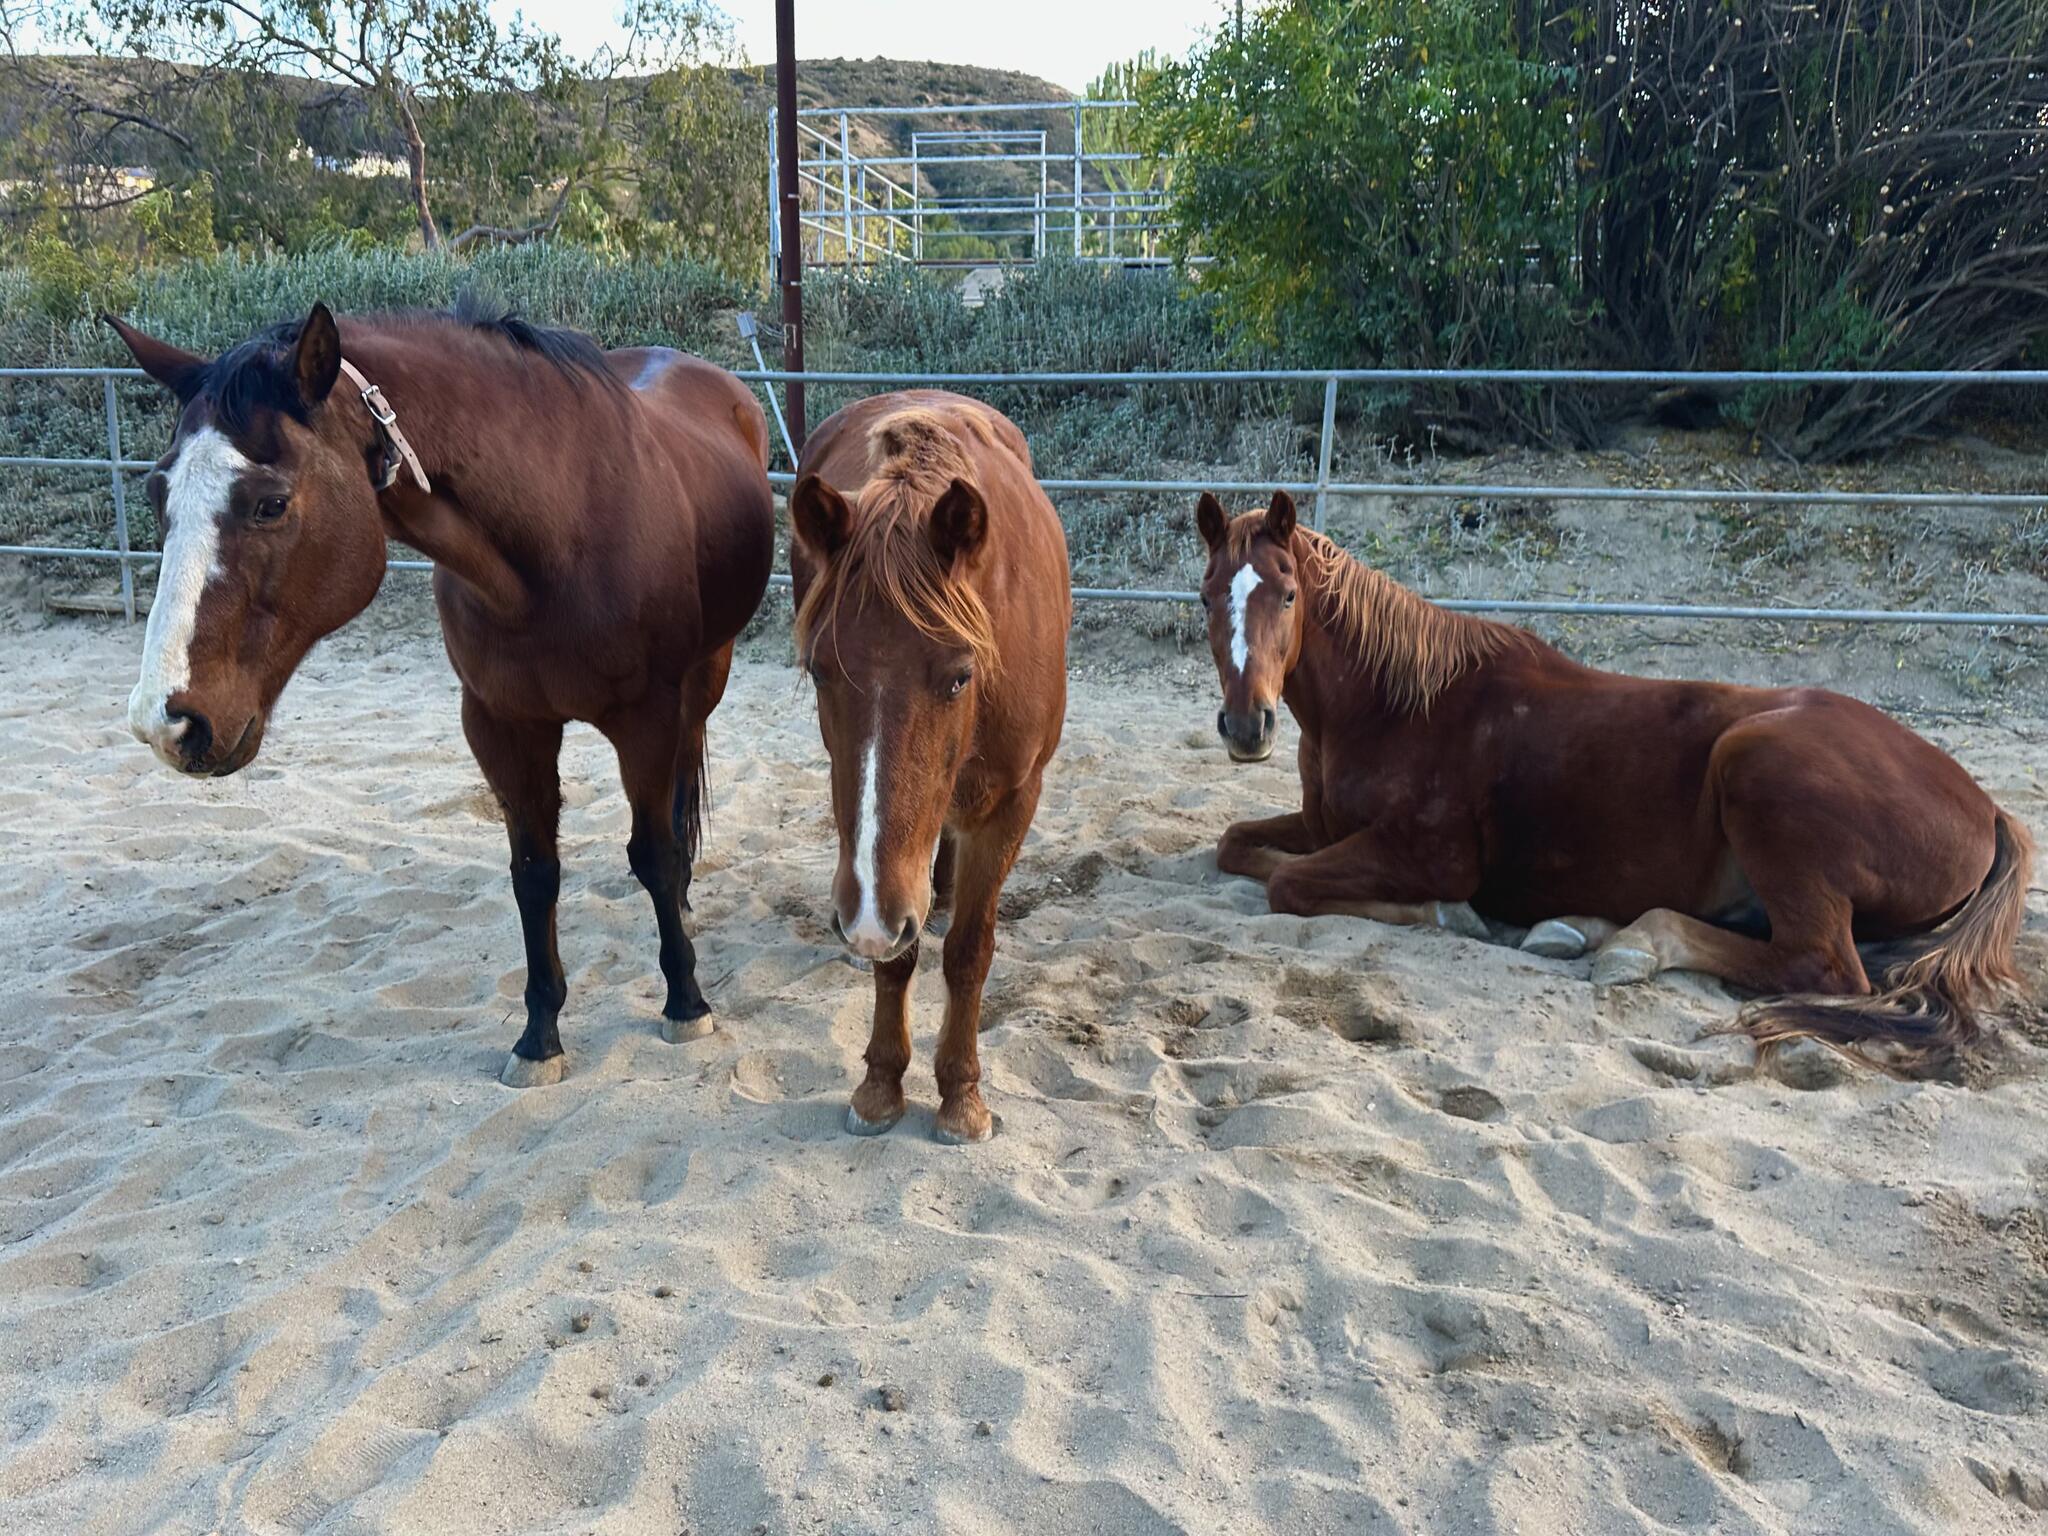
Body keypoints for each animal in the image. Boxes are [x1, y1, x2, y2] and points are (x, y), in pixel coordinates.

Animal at [106, 299, 775, 1086]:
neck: (562, 532)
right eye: (157, 493)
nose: (167, 723)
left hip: (703, 677)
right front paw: (538, 1037)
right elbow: (534, 875)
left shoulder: (644, 717)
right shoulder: (501, 725)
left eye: (270, 504)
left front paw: (685, 1001)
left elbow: (653, 853)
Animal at [789, 392, 1070, 1142]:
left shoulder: (1013, 801)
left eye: (959, 676)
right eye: (819, 670)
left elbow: (970, 951)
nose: (862, 921)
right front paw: (882, 1084)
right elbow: (898, 957)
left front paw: (961, 1094)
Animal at [1193, 488, 2035, 1074]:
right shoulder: (1324, 825)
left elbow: (1292, 883)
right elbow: (1236, 847)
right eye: (1206, 597)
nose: (1247, 726)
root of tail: (1989, 810)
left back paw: (1626, 944)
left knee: (1818, 964)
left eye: (1288, 594)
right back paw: (1574, 929)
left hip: (1757, 764)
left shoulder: (1430, 853)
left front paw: (1451, 915)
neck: (1395, 704)